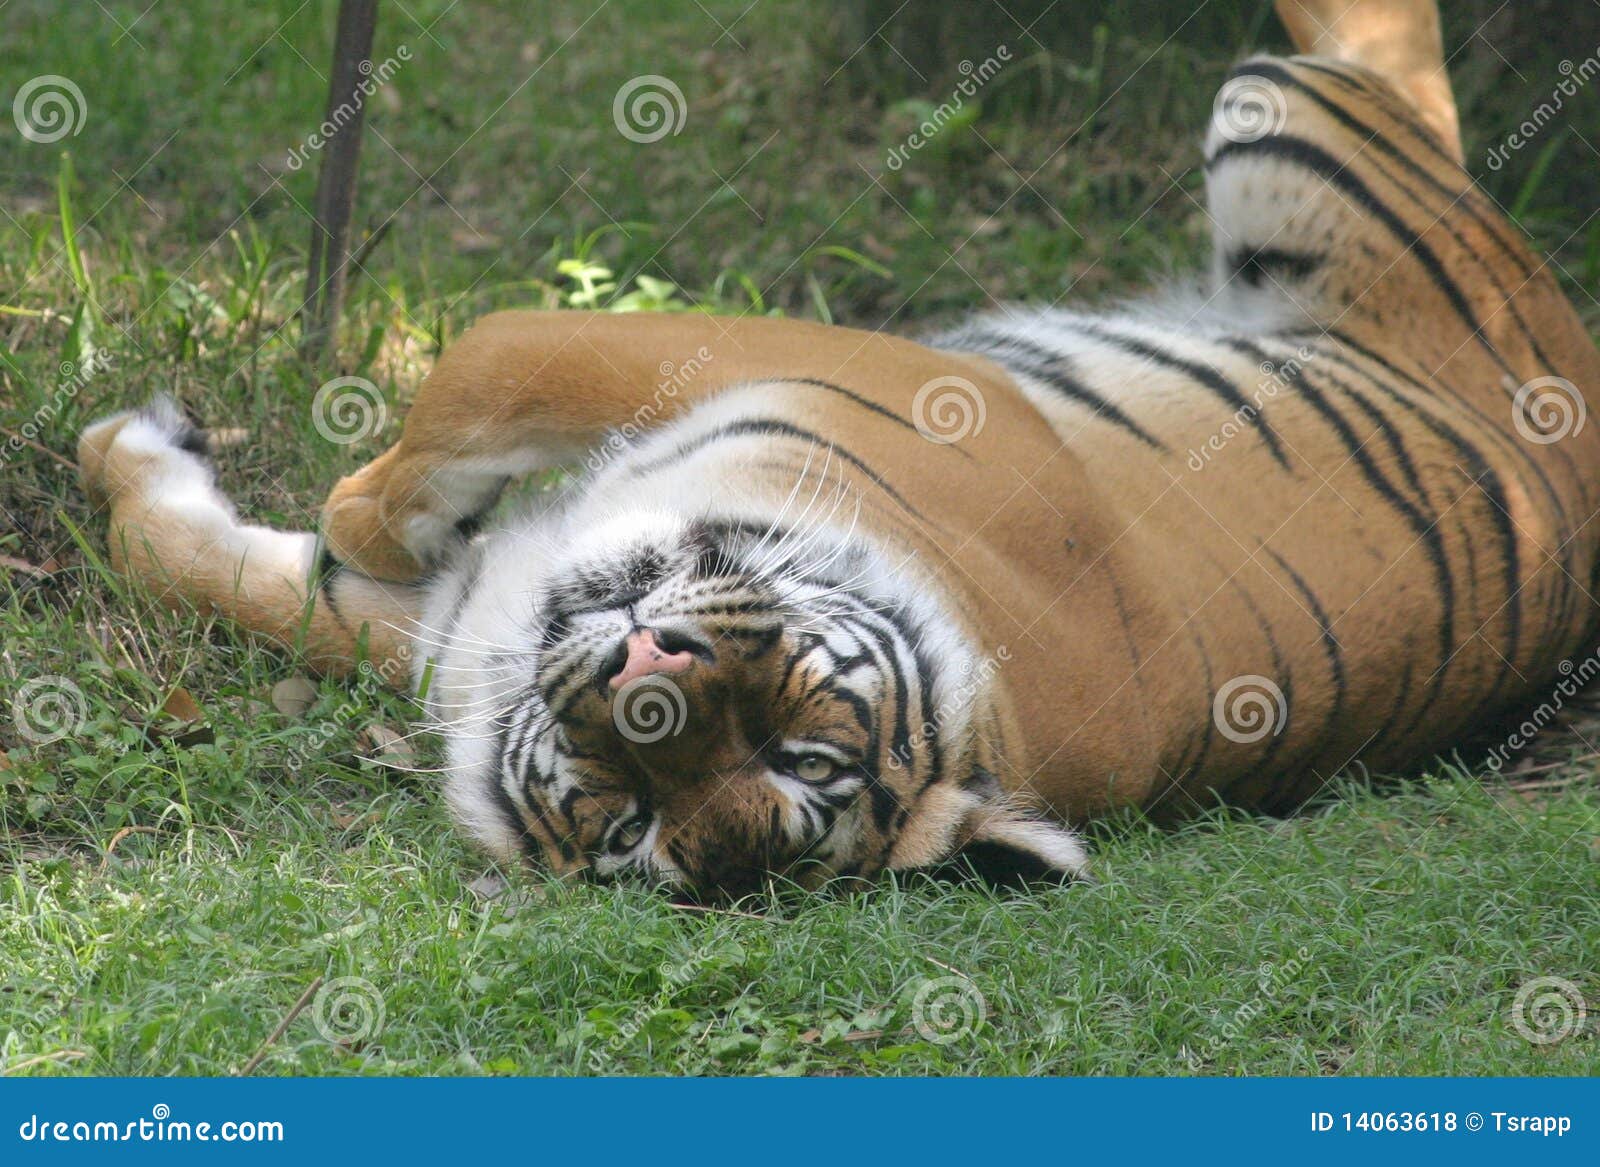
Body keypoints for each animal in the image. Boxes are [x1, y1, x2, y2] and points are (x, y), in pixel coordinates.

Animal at [78, 0, 1600, 899]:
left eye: (793, 768)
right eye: (631, 807)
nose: (639, 686)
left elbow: (486, 360)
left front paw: (337, 497)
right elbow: (263, 561)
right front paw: (140, 454)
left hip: (1293, 125)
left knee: (1369, 47)